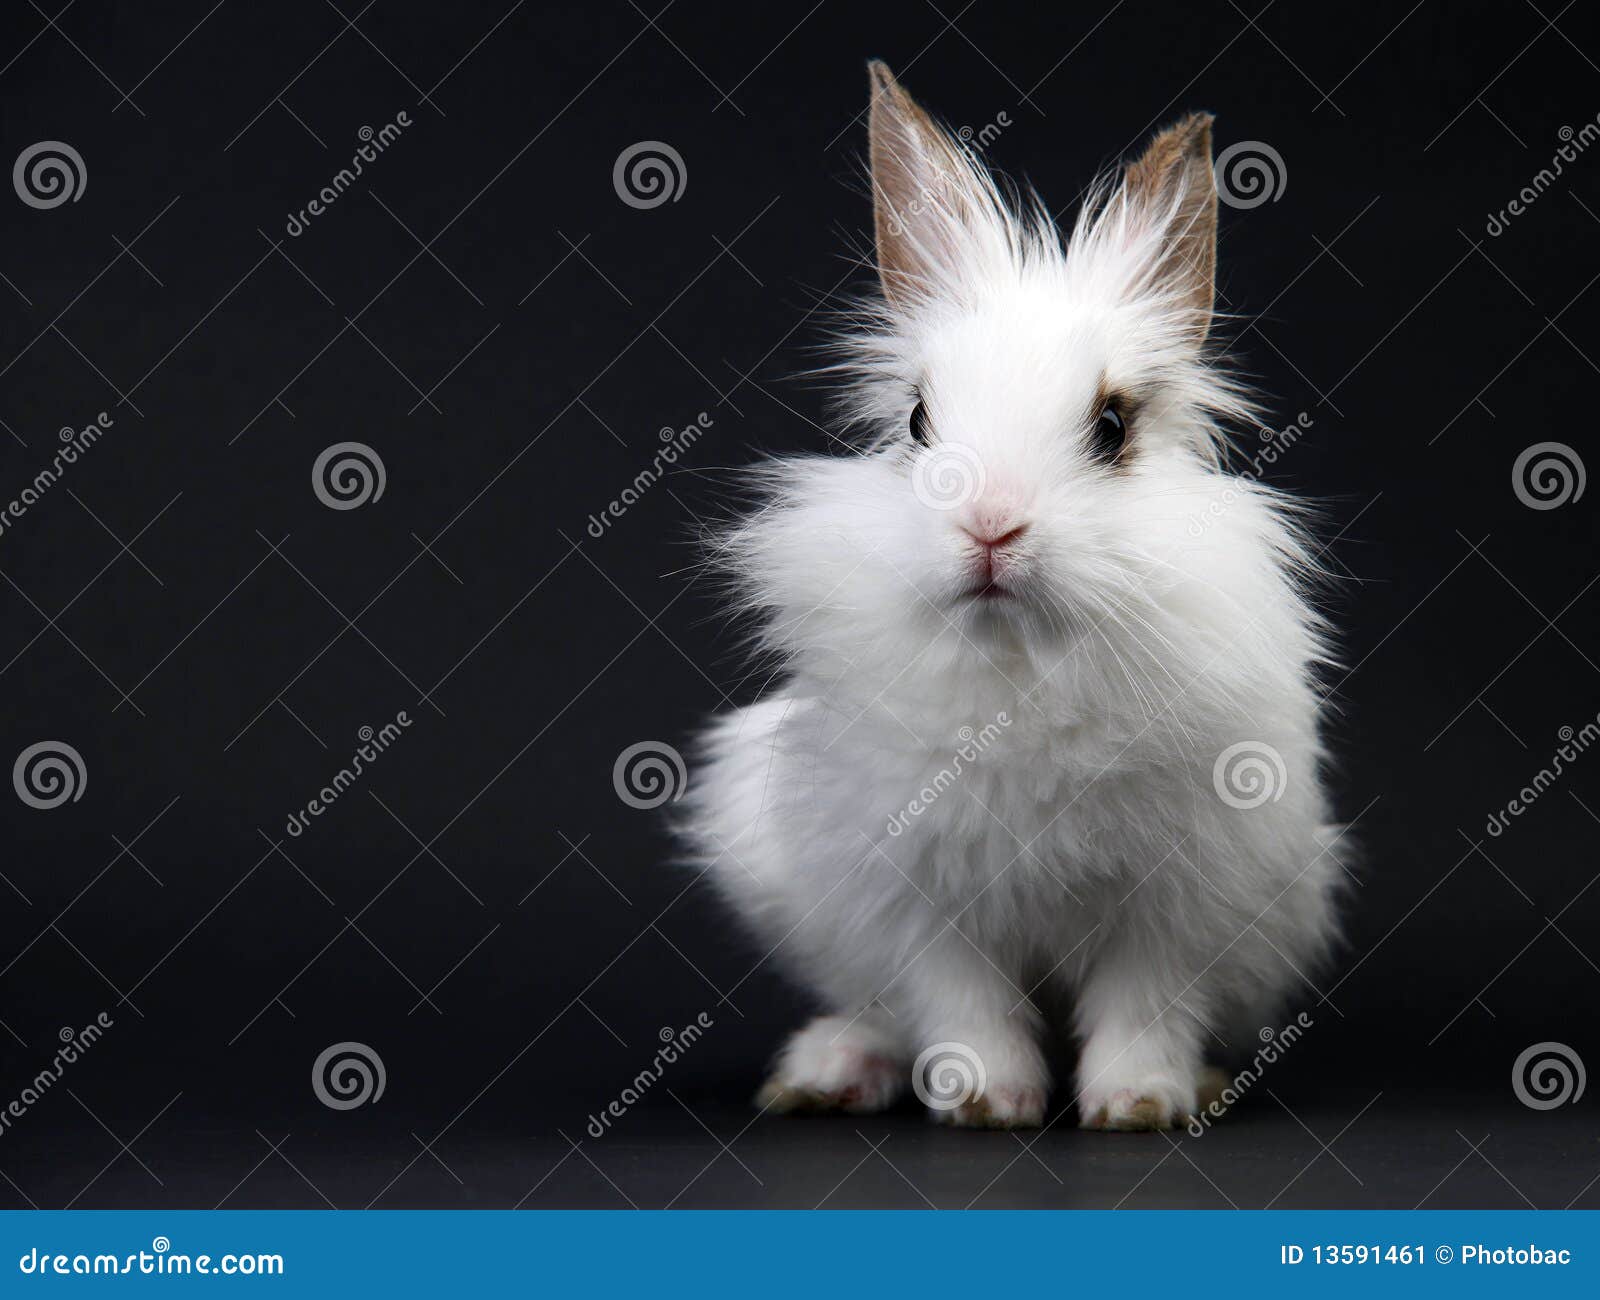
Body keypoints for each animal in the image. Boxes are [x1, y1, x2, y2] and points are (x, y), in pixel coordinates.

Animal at [678, 61, 1345, 1131]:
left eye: (1111, 427)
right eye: (918, 420)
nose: (990, 526)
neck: (1020, 658)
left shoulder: (1175, 902)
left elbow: (1142, 1006)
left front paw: (1138, 1104)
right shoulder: (922, 898)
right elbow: (963, 1004)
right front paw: (988, 1100)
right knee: (877, 1010)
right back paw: (829, 1072)